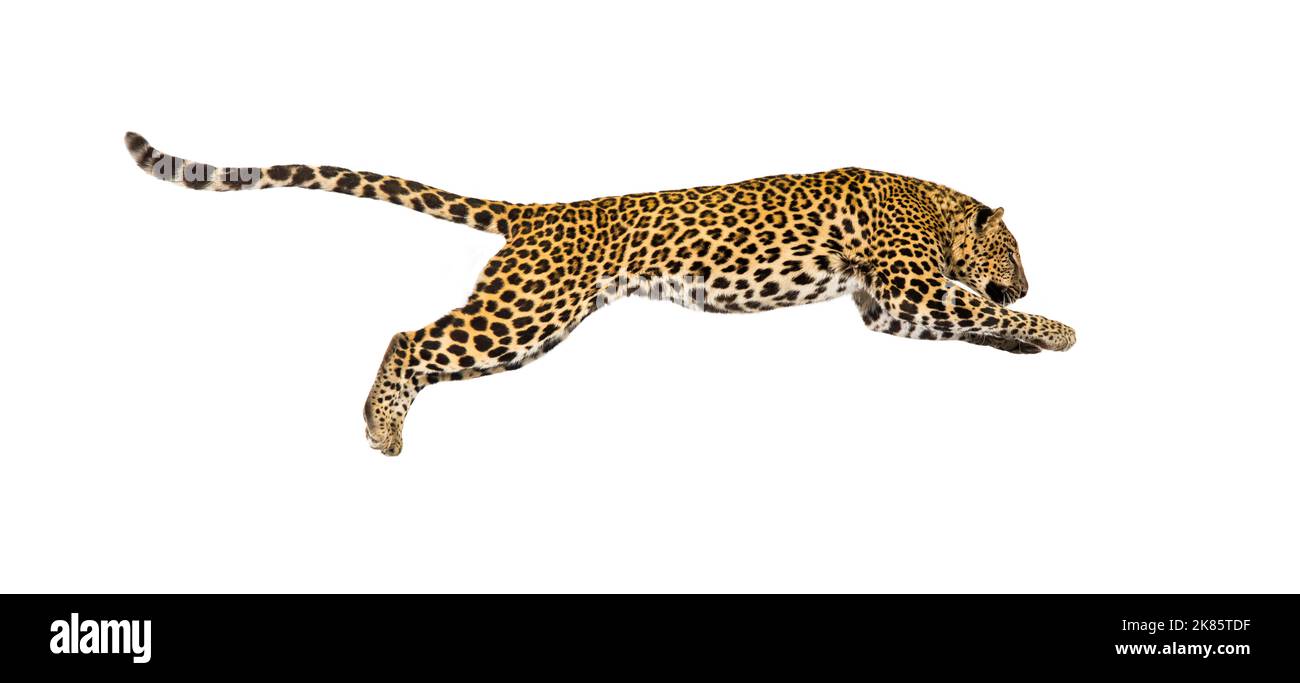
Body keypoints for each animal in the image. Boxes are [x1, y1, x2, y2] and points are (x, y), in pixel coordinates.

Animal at [125, 132, 1076, 456]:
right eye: (1017, 248)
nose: (1033, 273)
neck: (935, 205)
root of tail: (548, 211)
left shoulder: (891, 306)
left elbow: (980, 321)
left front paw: (1034, 337)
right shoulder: (912, 286)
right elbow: (984, 305)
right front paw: (1059, 327)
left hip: (530, 323)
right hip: (523, 313)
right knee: (409, 339)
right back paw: (382, 428)